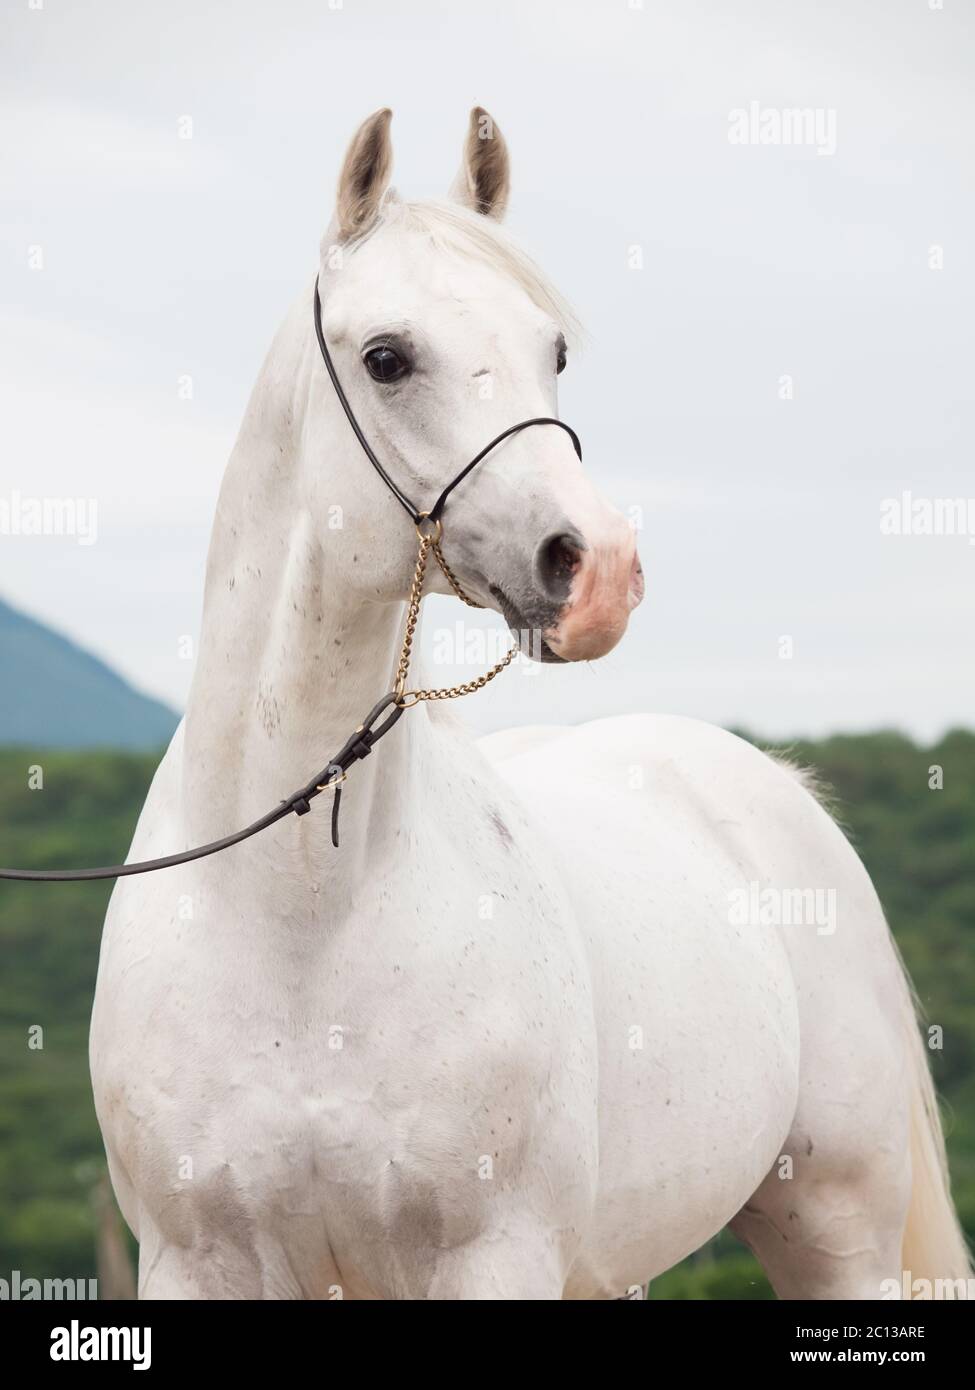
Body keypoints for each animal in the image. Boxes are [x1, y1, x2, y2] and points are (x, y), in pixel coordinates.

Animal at [90, 107, 970, 1300]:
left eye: (550, 348)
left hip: (840, 1233)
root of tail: (771, 788)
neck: (296, 922)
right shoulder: (194, 1262)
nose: (597, 569)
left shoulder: (493, 1256)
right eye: (387, 357)